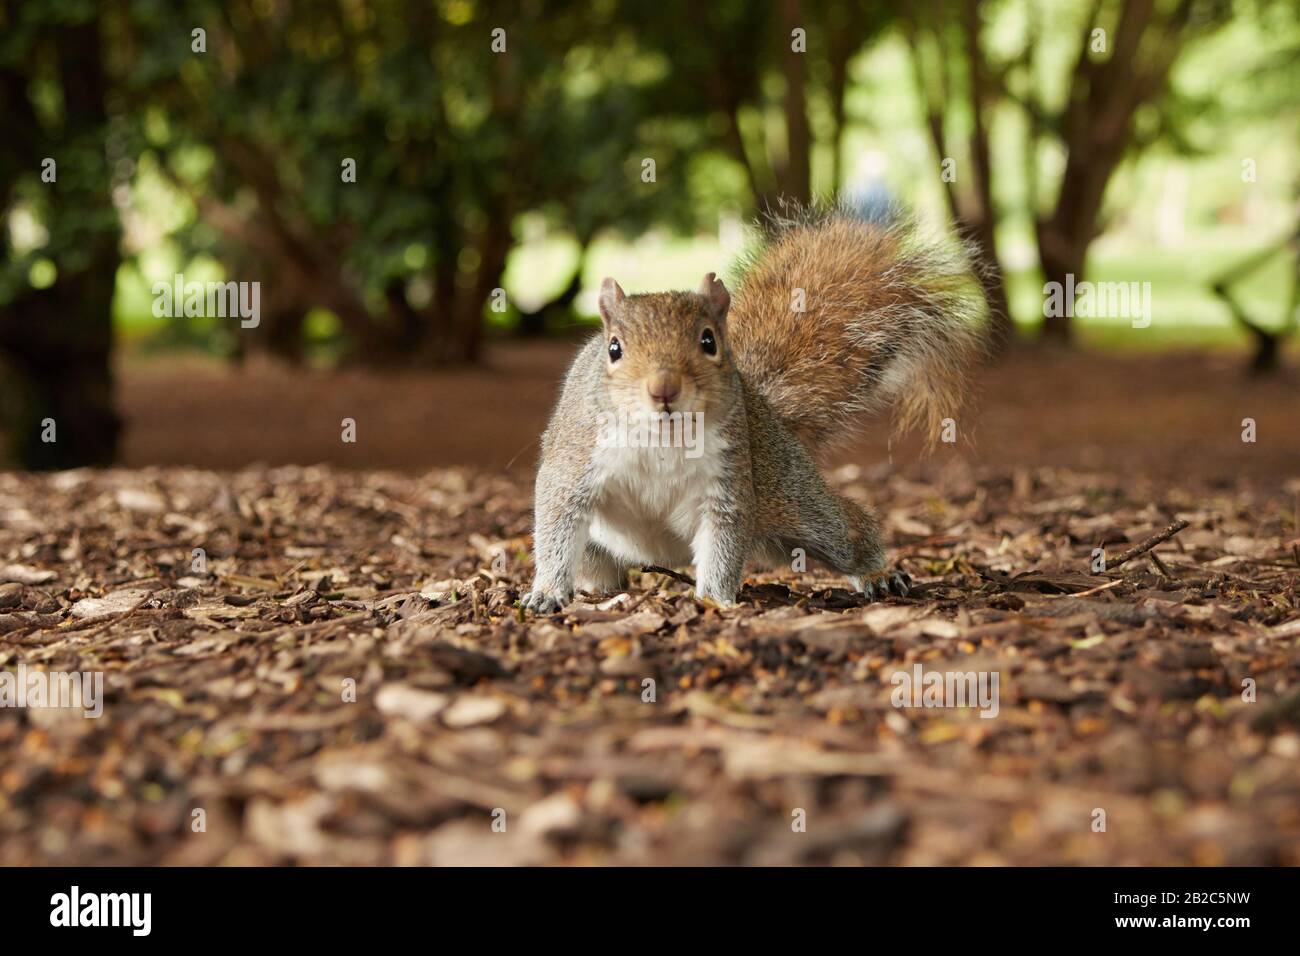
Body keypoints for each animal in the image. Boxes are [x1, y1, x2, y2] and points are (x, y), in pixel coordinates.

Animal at [522, 204, 985, 613]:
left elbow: (723, 545)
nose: (663, 389)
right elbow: (557, 524)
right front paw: (546, 593)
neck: (663, 435)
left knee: (846, 529)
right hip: (603, 549)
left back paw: (878, 573)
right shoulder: (575, 464)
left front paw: (714, 601)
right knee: (597, 565)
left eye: (709, 341)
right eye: (614, 349)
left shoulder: (728, 486)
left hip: (791, 497)